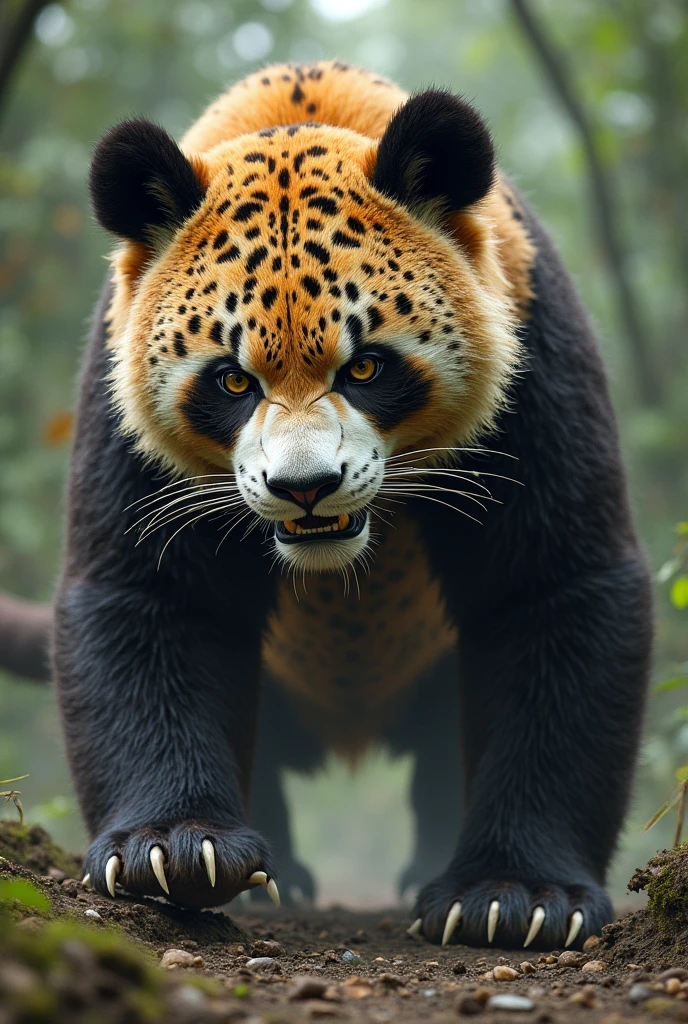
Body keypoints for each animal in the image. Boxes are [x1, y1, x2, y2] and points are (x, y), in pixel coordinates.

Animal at [47, 60, 651, 949]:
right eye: (232, 380)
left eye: (365, 367)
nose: (306, 488)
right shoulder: (120, 383)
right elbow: (150, 597)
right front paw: (176, 850)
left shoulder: (532, 347)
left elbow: (553, 589)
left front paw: (516, 897)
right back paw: (277, 878)